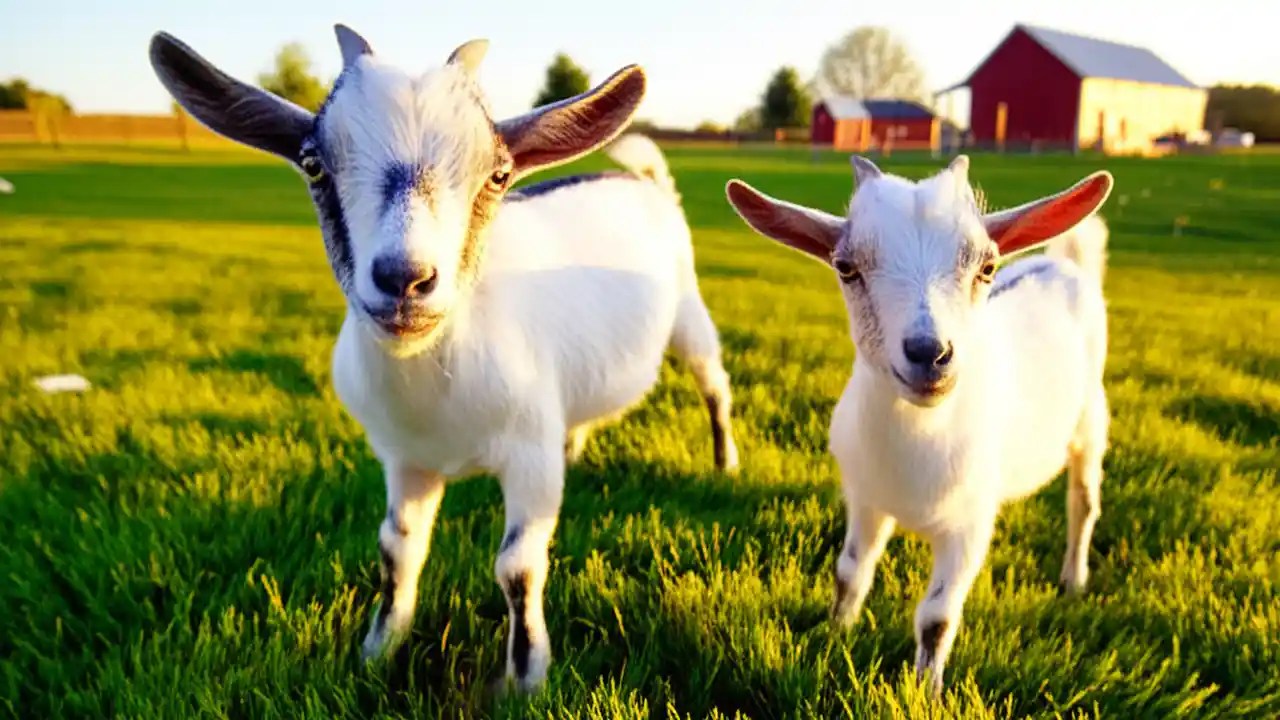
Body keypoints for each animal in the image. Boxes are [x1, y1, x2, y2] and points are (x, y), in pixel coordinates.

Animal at [149, 25, 738, 690]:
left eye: (500, 174)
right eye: (313, 165)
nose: (405, 279)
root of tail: (645, 182)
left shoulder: (528, 457)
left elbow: (517, 566)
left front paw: (525, 679)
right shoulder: (406, 460)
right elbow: (396, 550)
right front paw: (379, 649)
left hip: (689, 312)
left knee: (715, 385)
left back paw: (725, 463)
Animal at [725, 155, 1113, 695]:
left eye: (986, 266)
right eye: (846, 267)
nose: (930, 354)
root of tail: (1064, 263)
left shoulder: (969, 526)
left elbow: (936, 617)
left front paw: (926, 691)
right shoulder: (866, 499)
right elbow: (849, 572)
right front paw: (835, 633)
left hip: (1090, 423)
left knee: (1083, 503)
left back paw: (1073, 579)